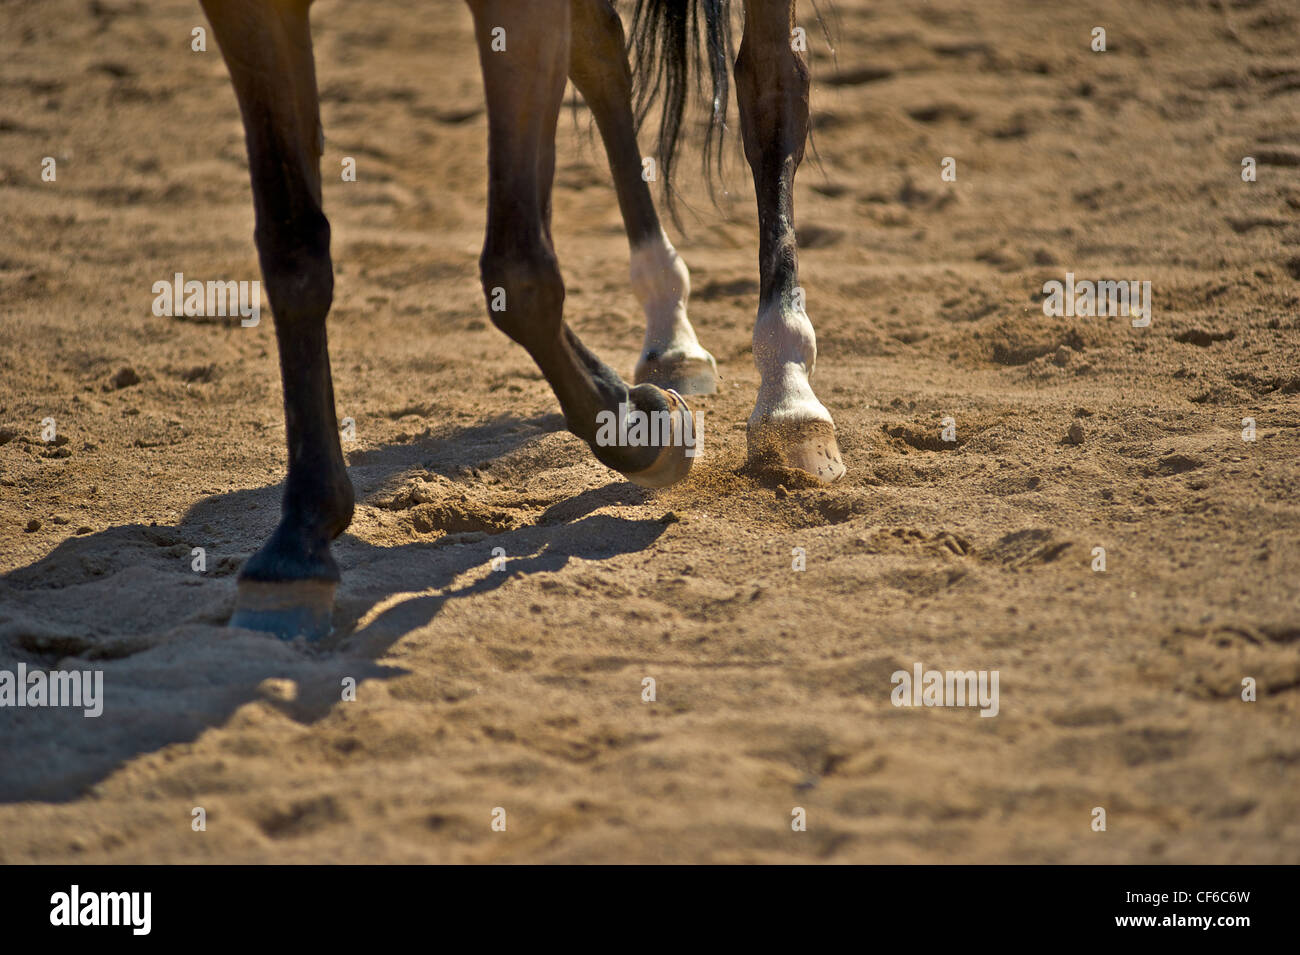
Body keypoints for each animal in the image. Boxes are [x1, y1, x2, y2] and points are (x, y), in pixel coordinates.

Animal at [197, 0, 844, 639]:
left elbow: (516, 267)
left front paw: (638, 427)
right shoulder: (250, 13)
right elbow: (293, 254)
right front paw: (299, 539)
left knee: (771, 80)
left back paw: (788, 393)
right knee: (601, 51)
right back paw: (669, 330)